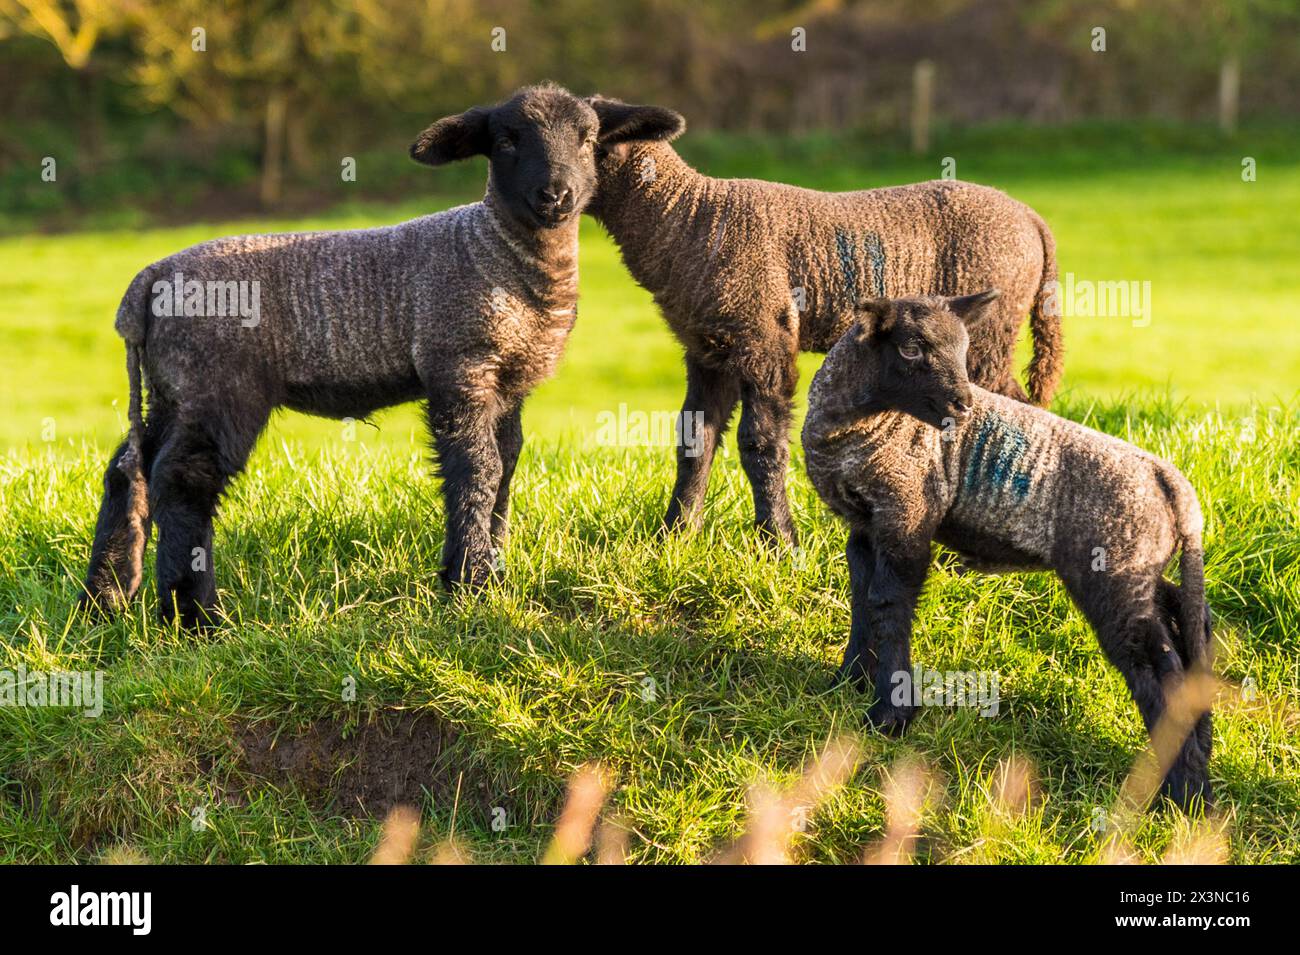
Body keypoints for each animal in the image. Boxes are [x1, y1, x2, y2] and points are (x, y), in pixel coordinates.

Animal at [79, 83, 656, 627]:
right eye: (507, 141)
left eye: (587, 138)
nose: (556, 195)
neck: (500, 253)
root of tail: (147, 281)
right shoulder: (459, 362)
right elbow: (478, 469)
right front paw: (470, 584)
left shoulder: (509, 381)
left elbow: (507, 465)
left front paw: (488, 569)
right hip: (216, 385)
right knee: (182, 481)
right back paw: (195, 618)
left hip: (170, 387)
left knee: (128, 470)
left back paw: (105, 600)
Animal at [583, 96, 1064, 547]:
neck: (688, 216)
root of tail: (1033, 219)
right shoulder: (708, 348)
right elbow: (695, 439)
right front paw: (676, 537)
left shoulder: (764, 336)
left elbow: (760, 443)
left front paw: (778, 543)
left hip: (988, 334)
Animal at [801, 292, 1213, 810]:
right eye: (911, 350)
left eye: (964, 349)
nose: (964, 404)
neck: (862, 425)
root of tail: (1170, 482)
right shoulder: (864, 526)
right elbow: (861, 596)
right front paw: (850, 679)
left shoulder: (907, 512)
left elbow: (890, 604)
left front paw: (891, 716)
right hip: (1141, 566)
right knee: (1186, 625)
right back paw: (1199, 763)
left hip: (1114, 570)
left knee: (1157, 665)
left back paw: (1186, 794)